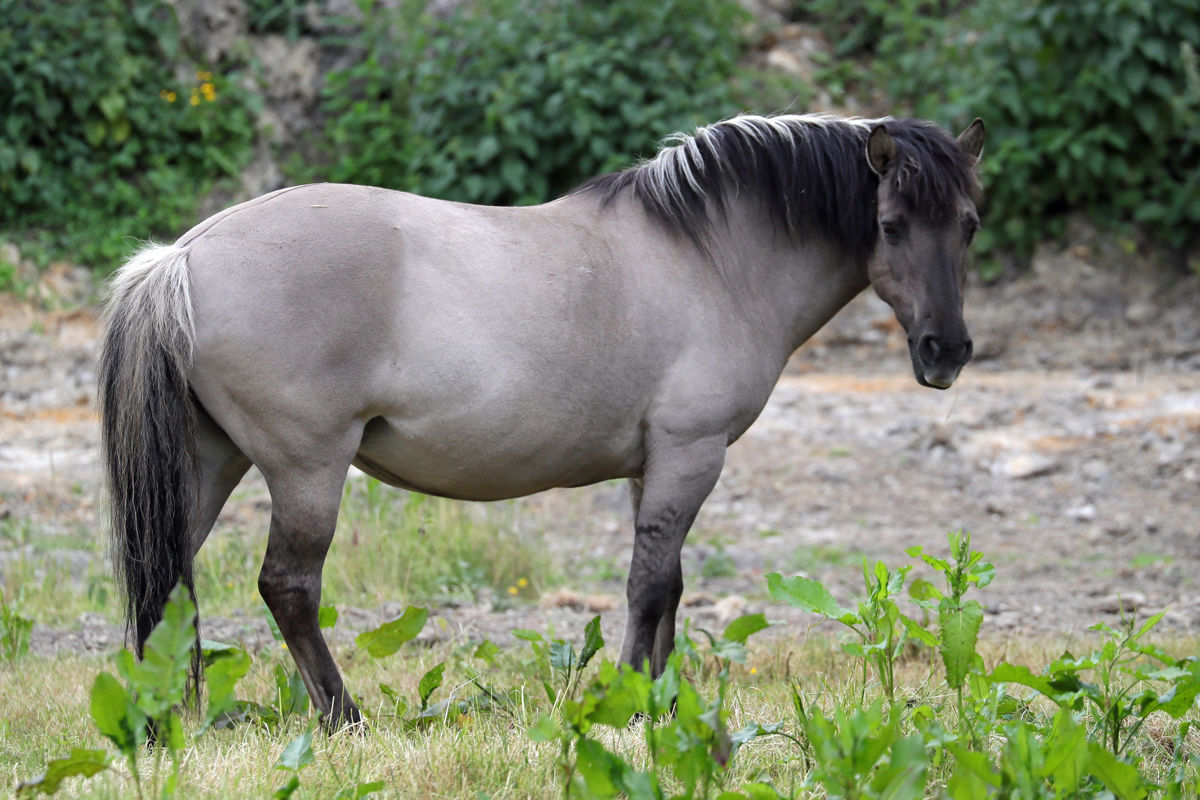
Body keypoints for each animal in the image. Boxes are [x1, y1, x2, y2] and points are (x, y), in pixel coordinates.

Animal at [98, 113, 985, 730]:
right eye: (891, 225)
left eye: (968, 224)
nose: (946, 352)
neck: (708, 259)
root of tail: (183, 256)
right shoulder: (689, 455)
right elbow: (648, 585)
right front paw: (629, 701)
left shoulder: (656, 468)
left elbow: (669, 587)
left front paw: (665, 704)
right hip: (305, 469)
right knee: (286, 587)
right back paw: (344, 719)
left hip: (208, 464)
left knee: (165, 582)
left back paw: (159, 723)